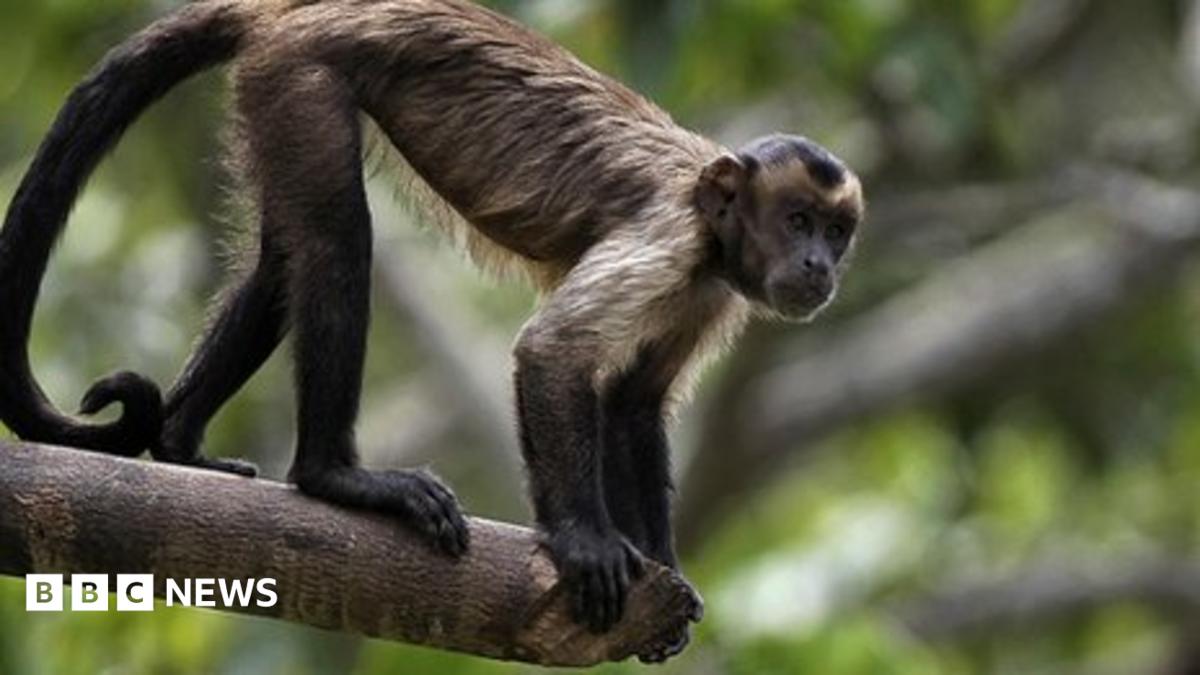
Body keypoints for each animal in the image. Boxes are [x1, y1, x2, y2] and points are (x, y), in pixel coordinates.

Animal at [0, 0, 863, 661]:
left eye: (837, 232)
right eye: (797, 221)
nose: (819, 265)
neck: (711, 226)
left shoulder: (710, 289)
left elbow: (634, 403)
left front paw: (664, 567)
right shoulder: (669, 241)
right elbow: (552, 354)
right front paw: (582, 539)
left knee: (283, 261)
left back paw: (181, 441)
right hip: (300, 76)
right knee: (336, 240)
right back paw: (332, 476)